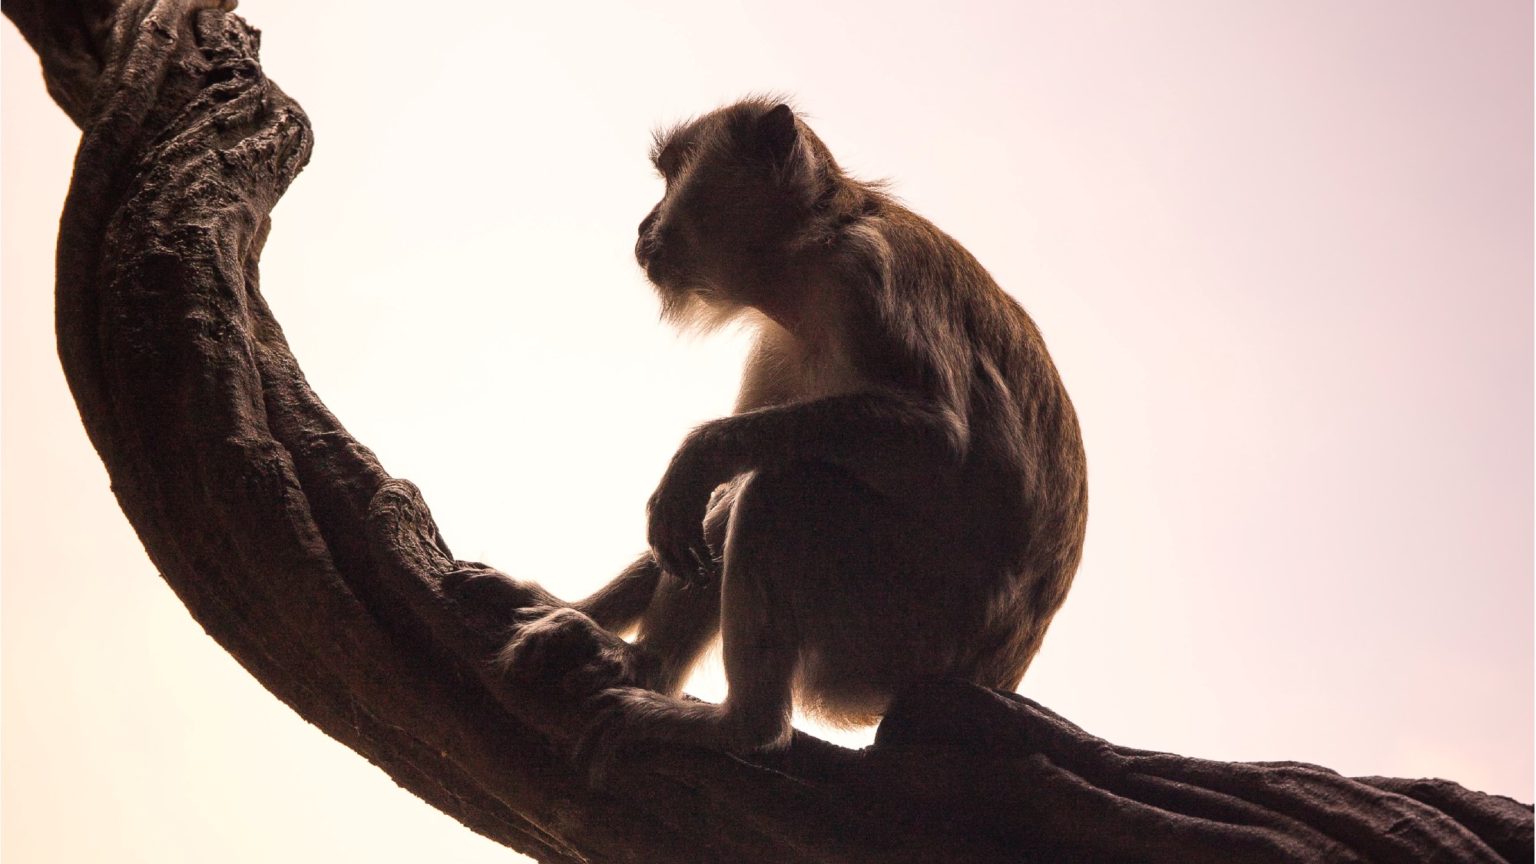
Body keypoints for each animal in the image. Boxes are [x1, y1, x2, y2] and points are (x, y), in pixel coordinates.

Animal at [489, 97, 1088, 770]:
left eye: (673, 174)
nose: (643, 225)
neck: (810, 253)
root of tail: (991, 678)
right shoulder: (776, 345)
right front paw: (568, 605)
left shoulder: (865, 275)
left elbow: (940, 440)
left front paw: (698, 455)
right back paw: (639, 662)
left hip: (896, 634)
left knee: (788, 491)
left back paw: (733, 721)